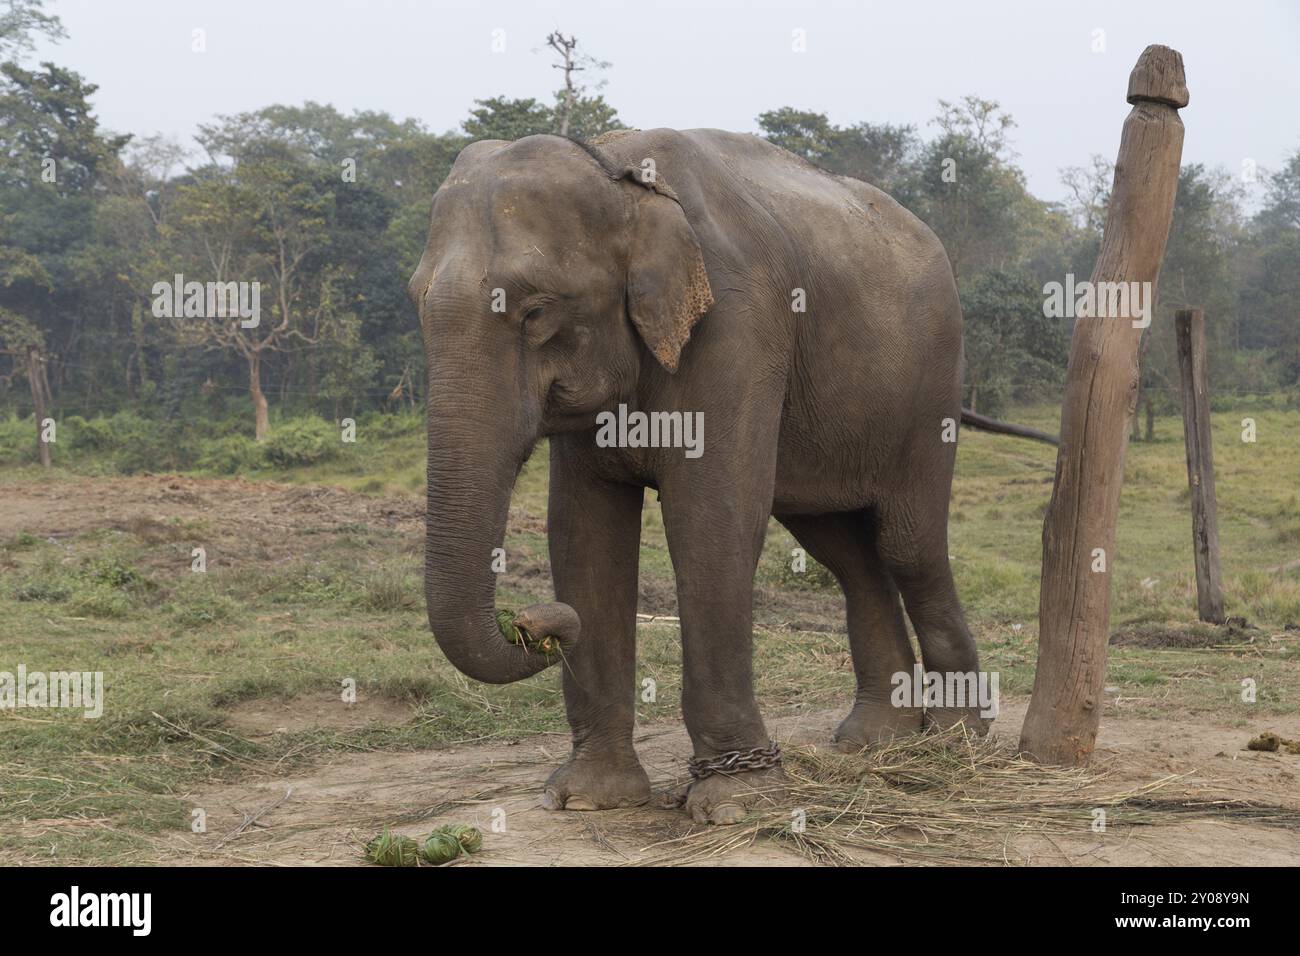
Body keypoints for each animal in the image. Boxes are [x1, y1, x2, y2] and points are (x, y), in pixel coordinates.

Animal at [407, 127, 989, 826]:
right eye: (416, 302)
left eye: (536, 310)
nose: (534, 625)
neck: (622, 177)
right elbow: (583, 530)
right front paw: (589, 798)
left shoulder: (737, 328)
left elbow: (710, 518)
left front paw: (738, 803)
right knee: (844, 553)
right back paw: (876, 740)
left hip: (931, 392)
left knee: (909, 546)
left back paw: (958, 738)